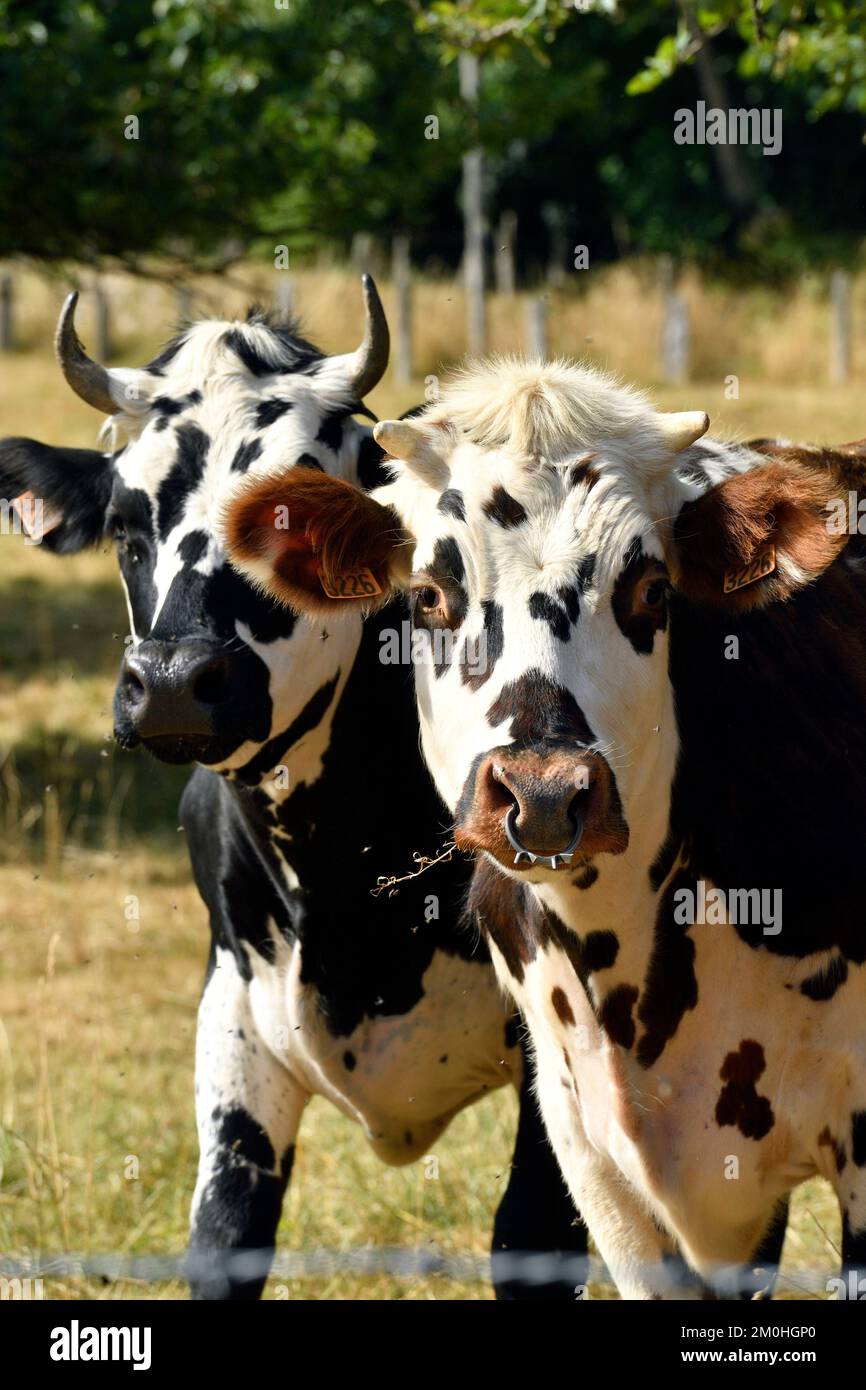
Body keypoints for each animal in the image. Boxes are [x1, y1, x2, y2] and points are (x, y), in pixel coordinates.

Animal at [0, 303, 586, 1300]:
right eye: (123, 519)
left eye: (297, 514)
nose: (172, 683)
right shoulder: (234, 1020)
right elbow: (225, 1232)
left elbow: (531, 1239)